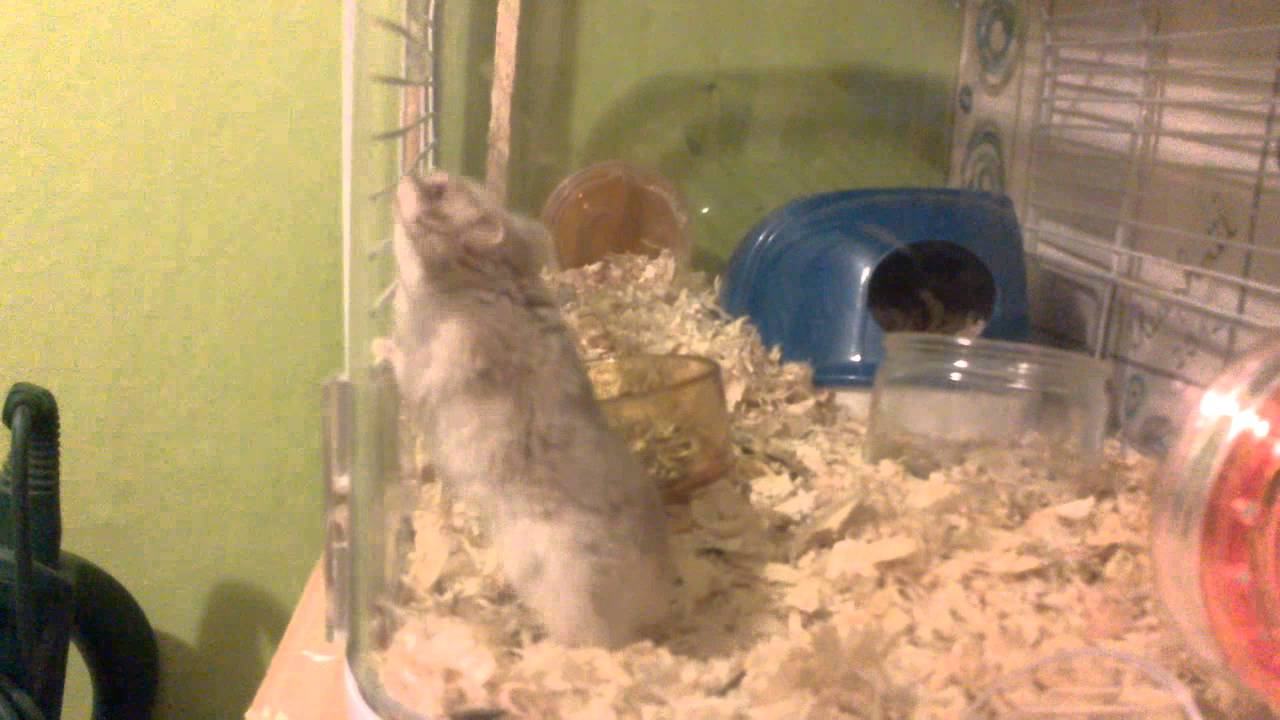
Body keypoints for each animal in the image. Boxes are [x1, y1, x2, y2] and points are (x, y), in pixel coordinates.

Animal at [386, 170, 675, 648]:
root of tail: (655, 606)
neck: (480, 276)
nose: (404, 175)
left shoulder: (442, 357)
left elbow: (408, 373)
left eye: (439, 191)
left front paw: (380, 348)